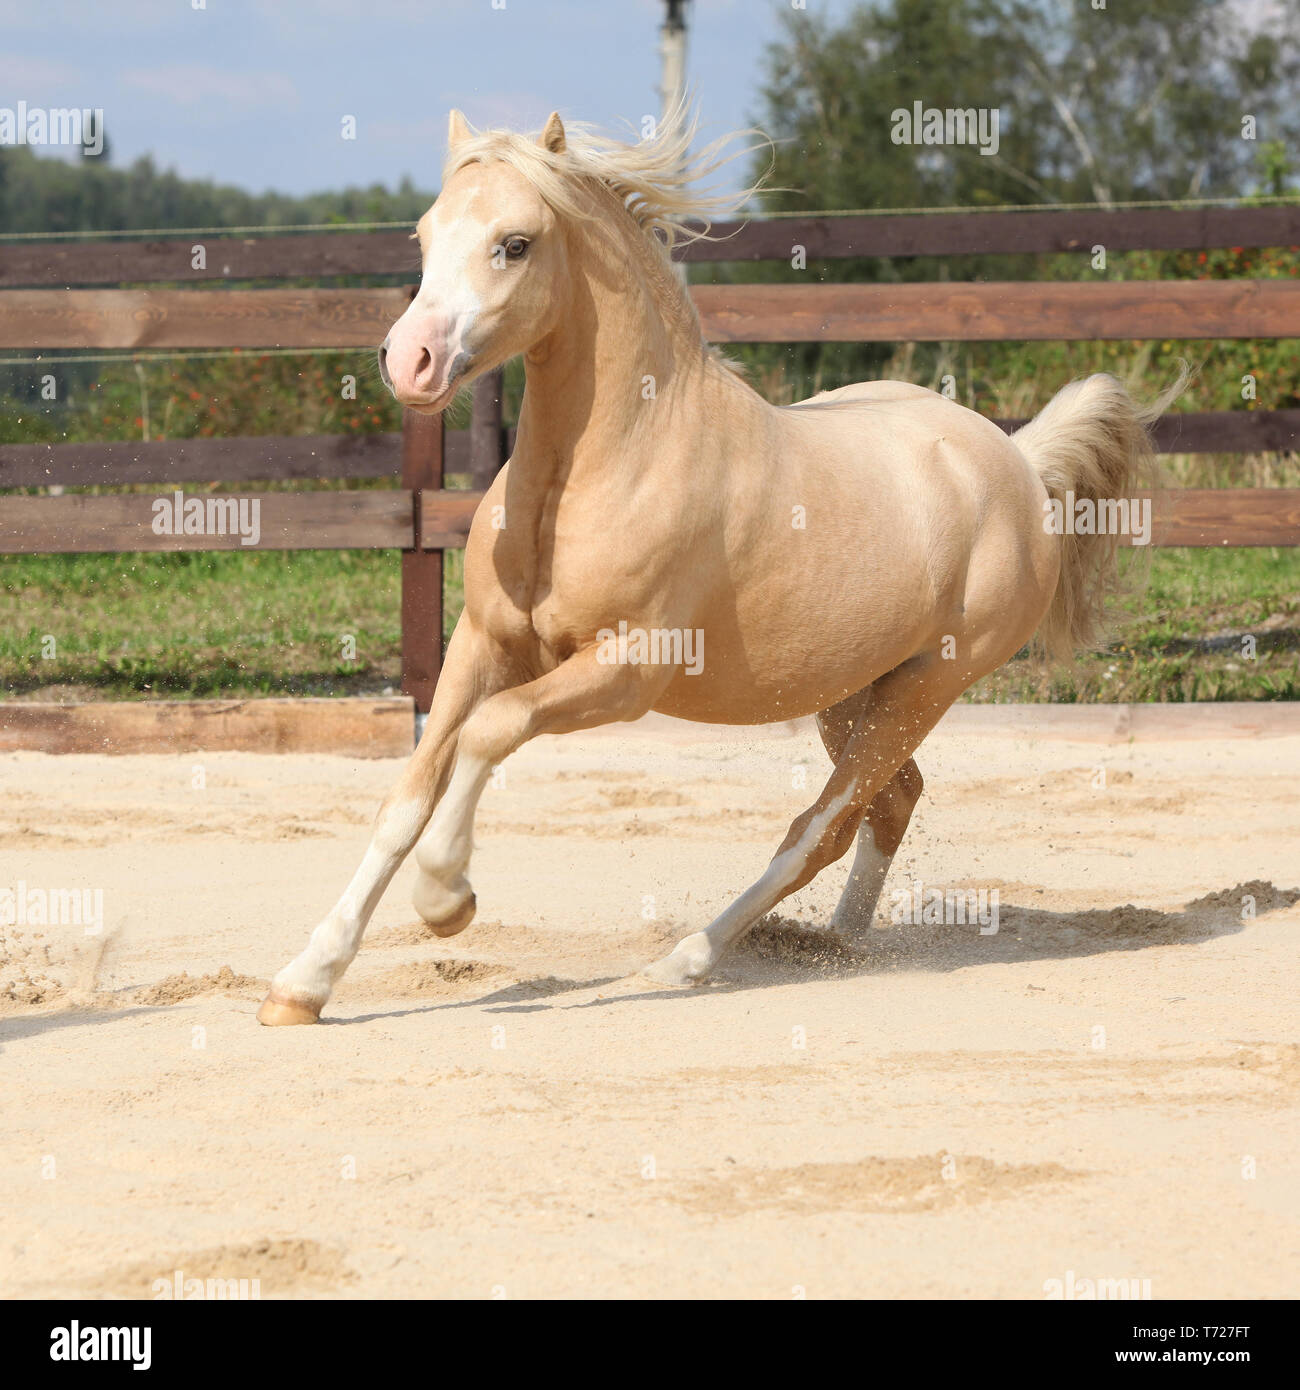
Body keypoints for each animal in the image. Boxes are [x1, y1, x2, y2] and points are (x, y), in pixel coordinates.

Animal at [257, 109, 1173, 1025]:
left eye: (515, 243)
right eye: (424, 234)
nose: (408, 361)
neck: (610, 465)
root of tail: (1016, 460)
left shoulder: (627, 672)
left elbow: (493, 730)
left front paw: (447, 899)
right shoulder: (483, 643)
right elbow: (407, 795)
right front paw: (303, 984)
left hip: (927, 687)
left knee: (820, 828)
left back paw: (683, 961)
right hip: (850, 692)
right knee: (893, 801)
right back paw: (838, 944)